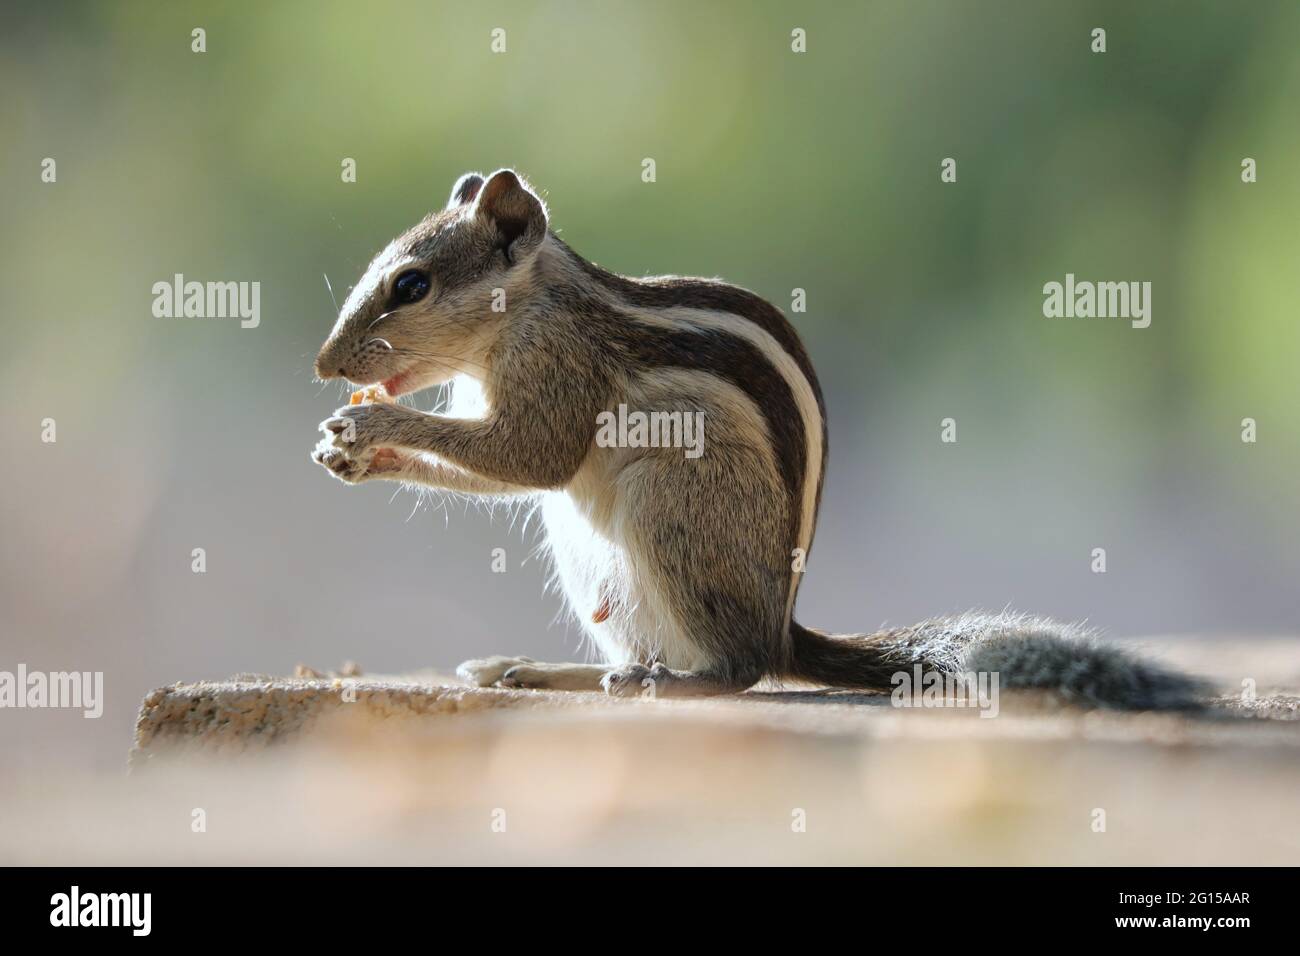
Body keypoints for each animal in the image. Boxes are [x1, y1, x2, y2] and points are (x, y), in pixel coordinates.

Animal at [312, 168, 1207, 707]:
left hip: (675, 500)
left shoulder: (557, 371)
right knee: (650, 652)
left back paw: (665, 684)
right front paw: (351, 451)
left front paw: (370, 425)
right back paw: (538, 670)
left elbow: (530, 457)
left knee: (736, 672)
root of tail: (782, 627)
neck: (526, 309)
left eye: (411, 285)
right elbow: (495, 471)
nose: (325, 364)